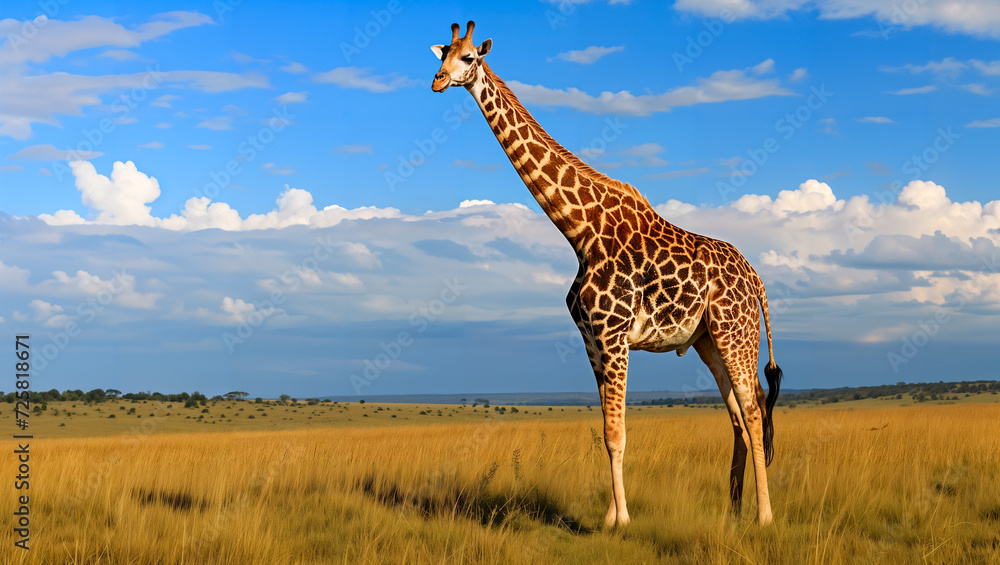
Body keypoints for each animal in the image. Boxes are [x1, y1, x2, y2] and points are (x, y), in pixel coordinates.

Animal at [431, 21, 783, 527]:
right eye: (442, 54)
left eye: (470, 59)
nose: (437, 81)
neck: (579, 230)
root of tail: (756, 279)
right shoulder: (592, 340)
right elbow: (605, 433)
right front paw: (608, 519)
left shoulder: (614, 336)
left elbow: (618, 434)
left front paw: (623, 522)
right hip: (709, 341)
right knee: (738, 415)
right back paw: (731, 512)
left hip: (738, 335)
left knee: (754, 414)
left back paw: (763, 517)